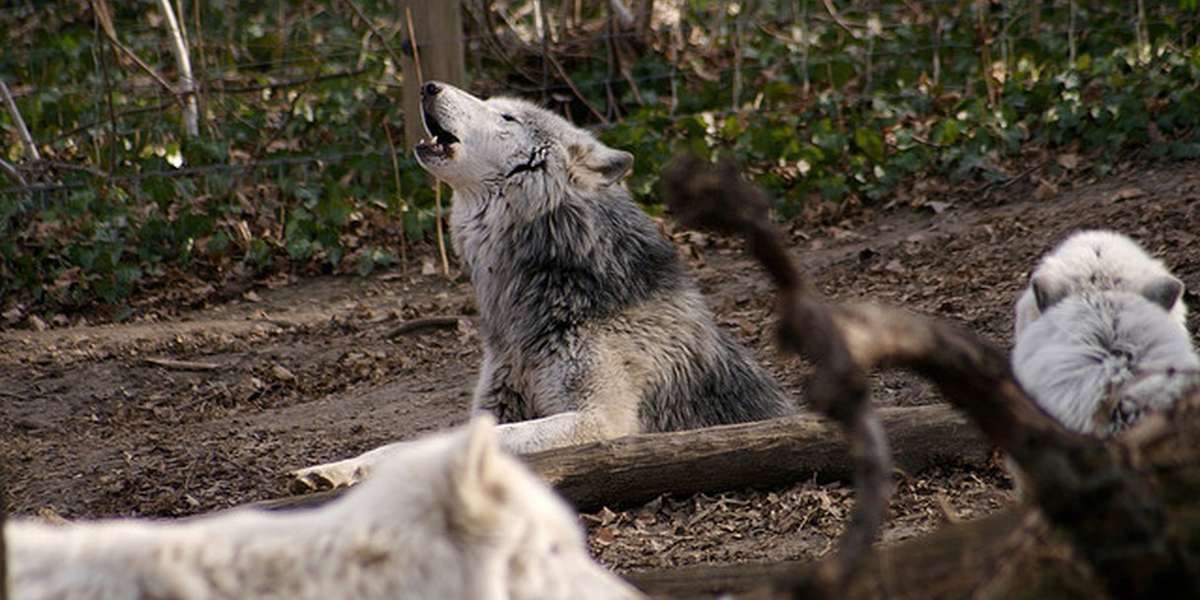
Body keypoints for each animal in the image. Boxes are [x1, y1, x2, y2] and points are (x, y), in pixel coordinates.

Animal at [292, 81, 791, 490]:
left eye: (506, 118)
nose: (429, 86)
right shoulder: (497, 403)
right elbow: (408, 444)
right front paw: (335, 469)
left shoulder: (601, 422)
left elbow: (496, 439)